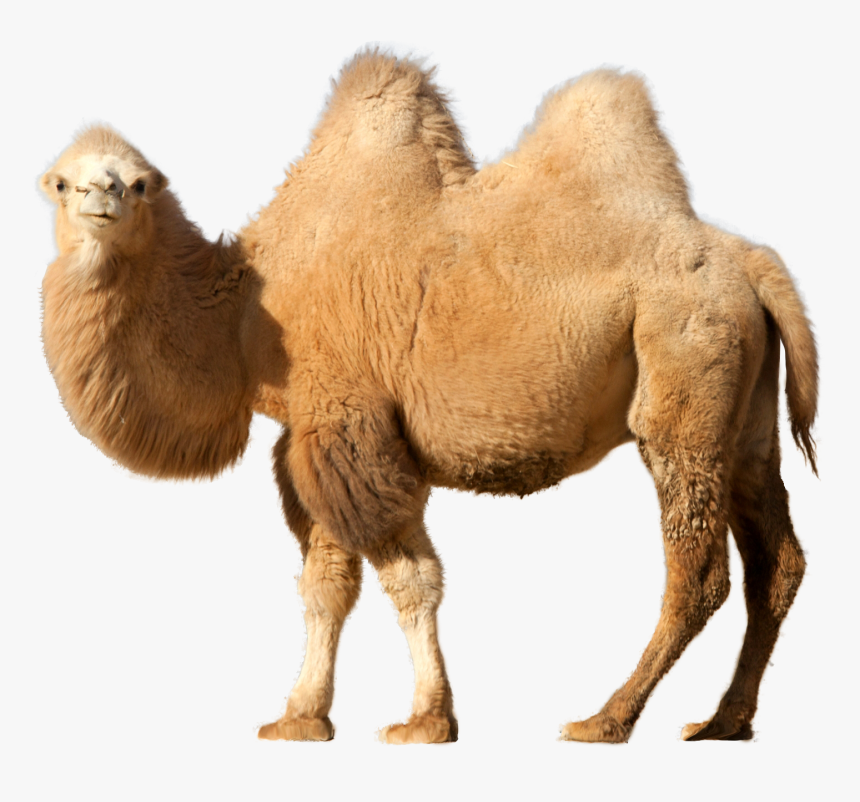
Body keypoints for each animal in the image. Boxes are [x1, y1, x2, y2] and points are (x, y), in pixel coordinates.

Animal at [40, 52, 817, 744]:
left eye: (139, 184)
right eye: (59, 182)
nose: (100, 196)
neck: (245, 313)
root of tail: (754, 265)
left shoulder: (348, 424)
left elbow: (408, 579)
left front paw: (425, 721)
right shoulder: (313, 436)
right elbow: (326, 584)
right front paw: (301, 718)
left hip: (684, 374)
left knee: (699, 571)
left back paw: (606, 719)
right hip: (746, 414)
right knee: (777, 561)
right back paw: (724, 721)